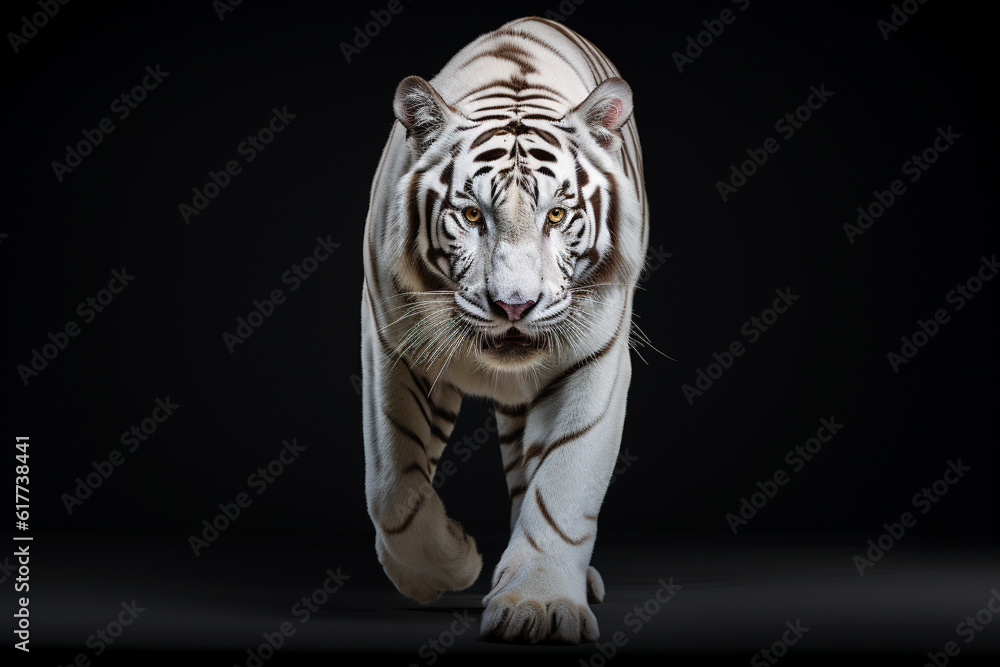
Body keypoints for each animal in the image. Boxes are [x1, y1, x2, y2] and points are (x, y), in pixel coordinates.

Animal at [361, 16, 648, 644]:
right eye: (472, 215)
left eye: (557, 215)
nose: (514, 307)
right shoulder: (392, 347)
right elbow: (393, 486)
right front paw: (449, 566)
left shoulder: (595, 359)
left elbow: (562, 486)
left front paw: (536, 603)